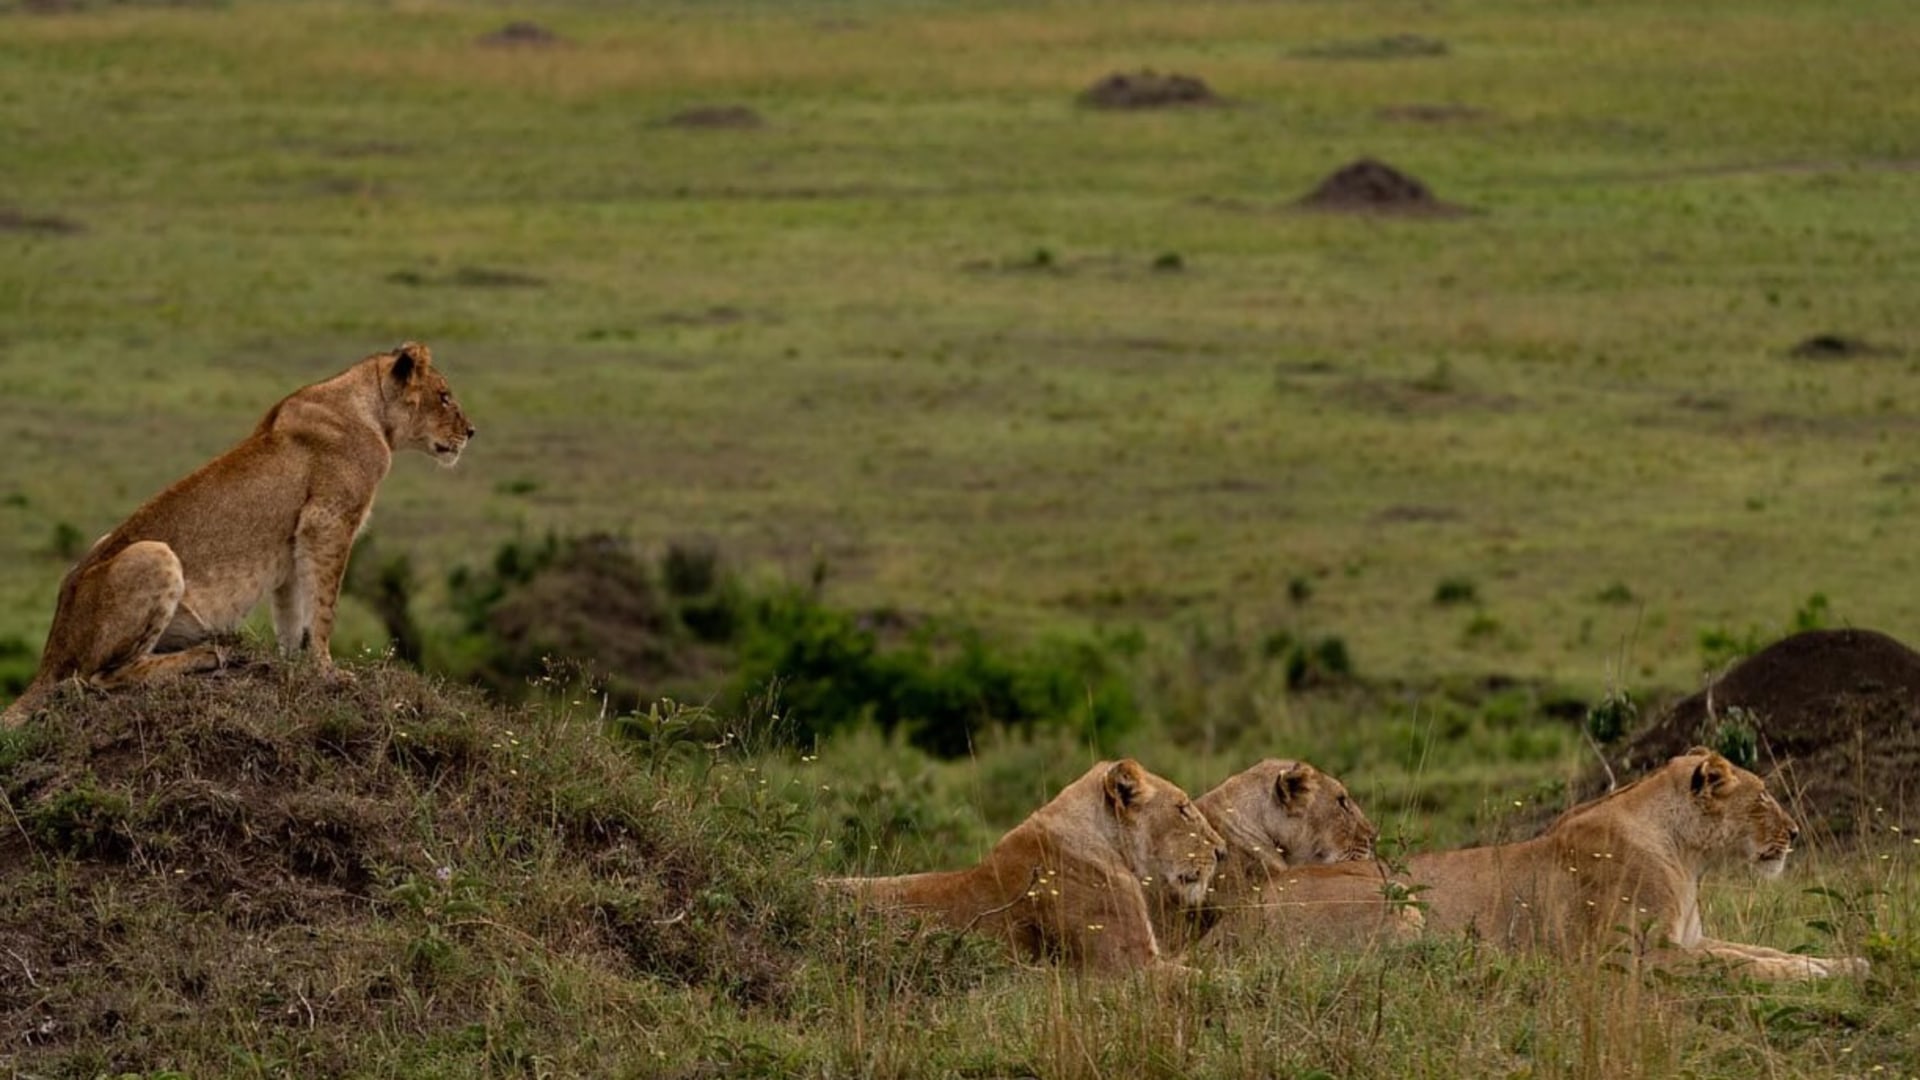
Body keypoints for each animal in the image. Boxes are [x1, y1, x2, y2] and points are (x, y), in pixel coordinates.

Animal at [2, 342, 474, 725]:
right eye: (444, 396)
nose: (472, 432)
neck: (370, 408)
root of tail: (51, 651)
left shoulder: (295, 542)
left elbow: (291, 614)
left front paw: (293, 665)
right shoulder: (327, 521)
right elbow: (323, 608)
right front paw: (329, 671)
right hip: (153, 553)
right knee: (98, 677)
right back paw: (207, 655)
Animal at [1407, 748, 1868, 980]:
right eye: (1762, 797)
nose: (1795, 833)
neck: (1687, 858)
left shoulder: (1688, 938)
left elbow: (1760, 950)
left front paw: (1844, 964)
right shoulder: (1628, 953)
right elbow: (1736, 963)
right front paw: (1813, 974)